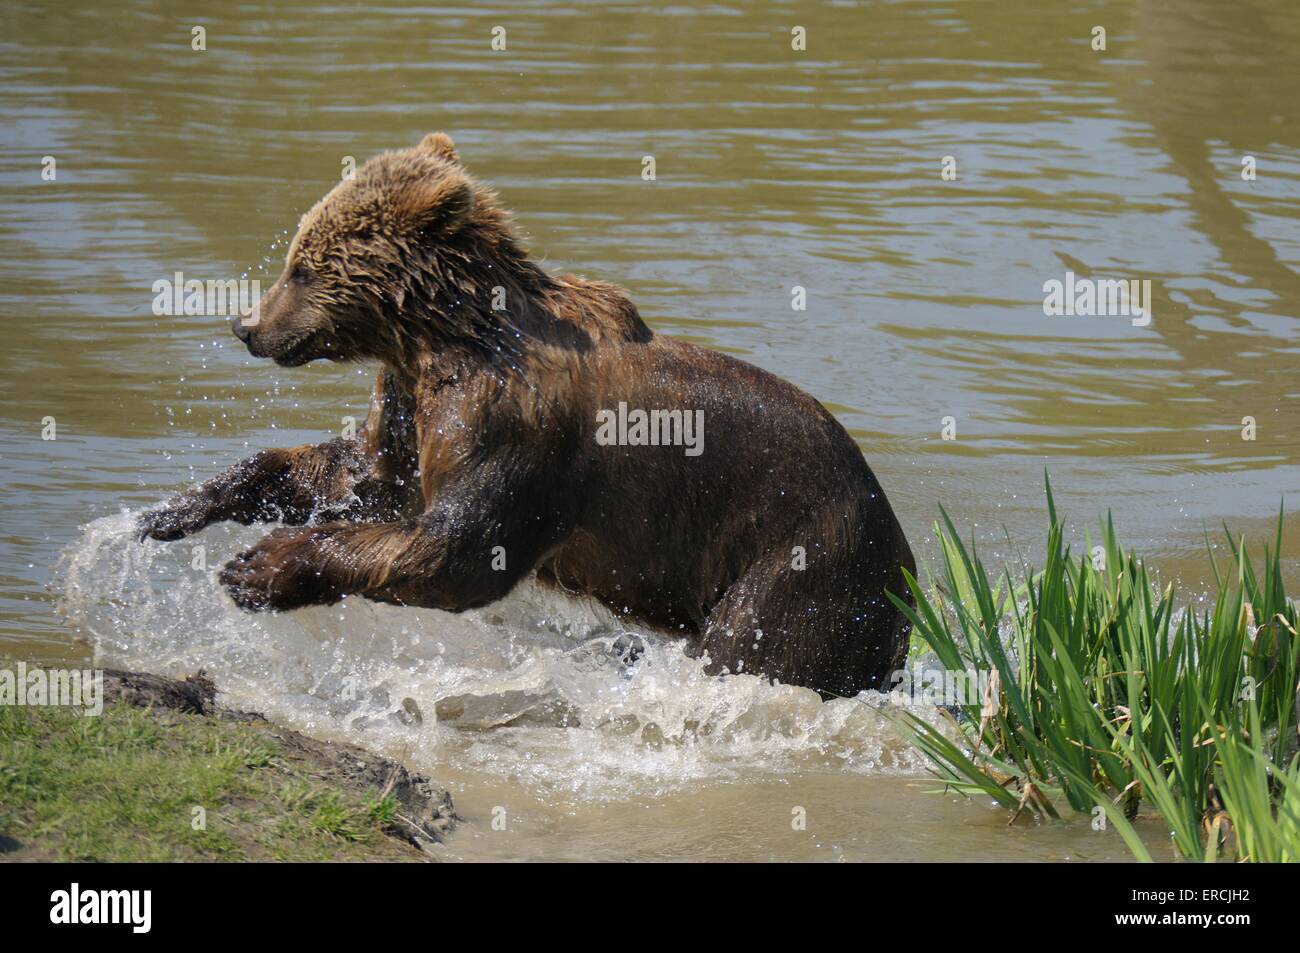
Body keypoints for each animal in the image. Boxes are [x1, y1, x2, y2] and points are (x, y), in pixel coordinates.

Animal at [138, 132, 916, 698]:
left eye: (303, 266)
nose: (246, 325)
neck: (440, 338)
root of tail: (903, 554)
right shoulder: (414, 401)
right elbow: (367, 477)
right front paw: (174, 509)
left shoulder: (513, 425)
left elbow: (456, 546)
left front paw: (257, 567)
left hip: (801, 561)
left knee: (753, 652)